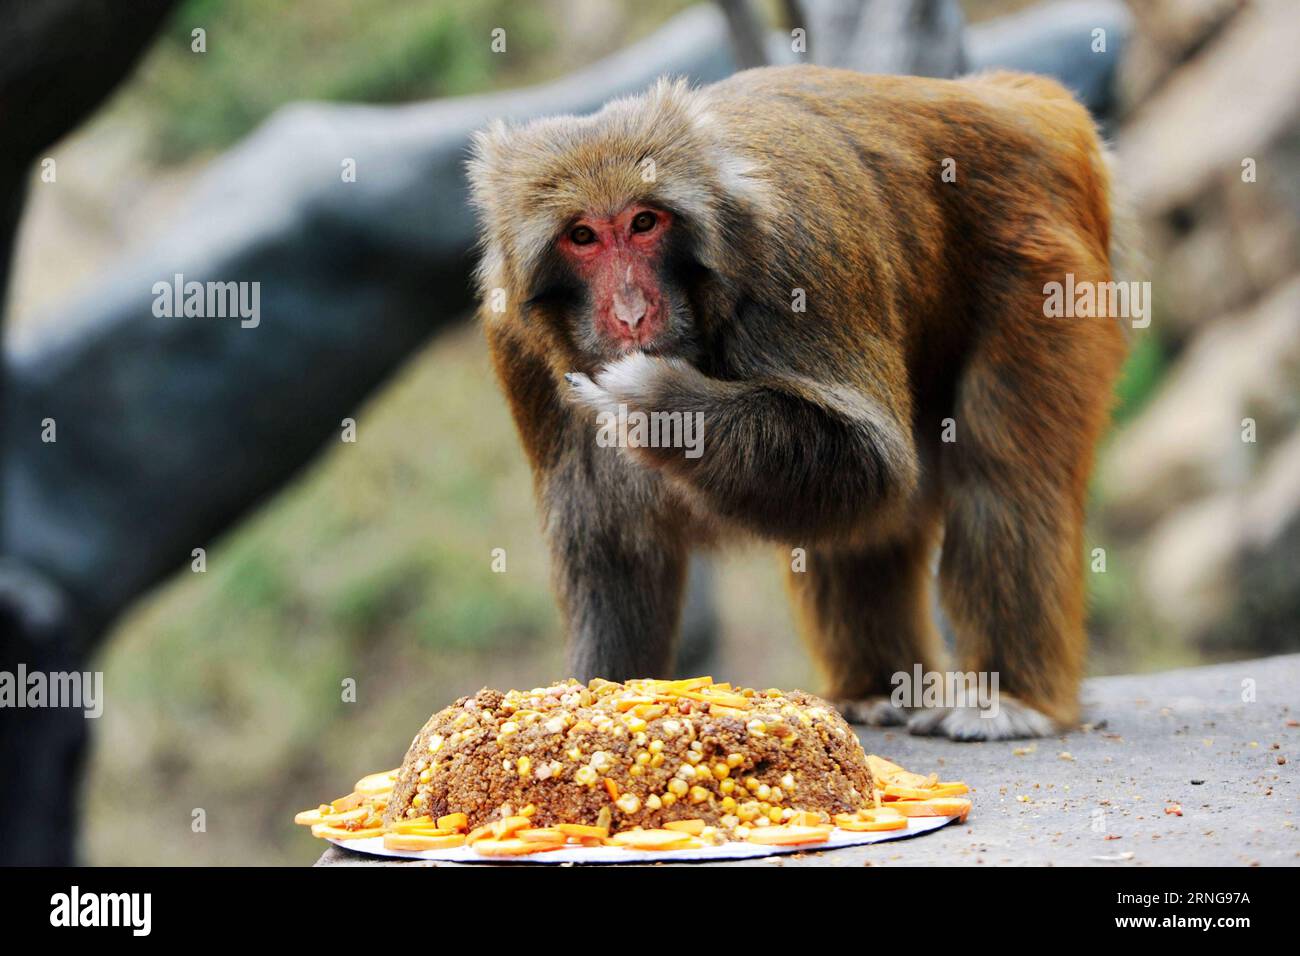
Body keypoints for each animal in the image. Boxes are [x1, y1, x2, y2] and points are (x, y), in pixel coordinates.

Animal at [467, 65, 1127, 740]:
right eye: (582, 236)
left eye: (644, 223)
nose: (630, 313)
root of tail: (1014, 98)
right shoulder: (516, 339)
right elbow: (611, 540)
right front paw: (592, 698)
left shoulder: (796, 256)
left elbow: (873, 462)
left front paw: (657, 406)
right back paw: (874, 689)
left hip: (1044, 266)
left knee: (1005, 477)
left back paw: (1010, 697)